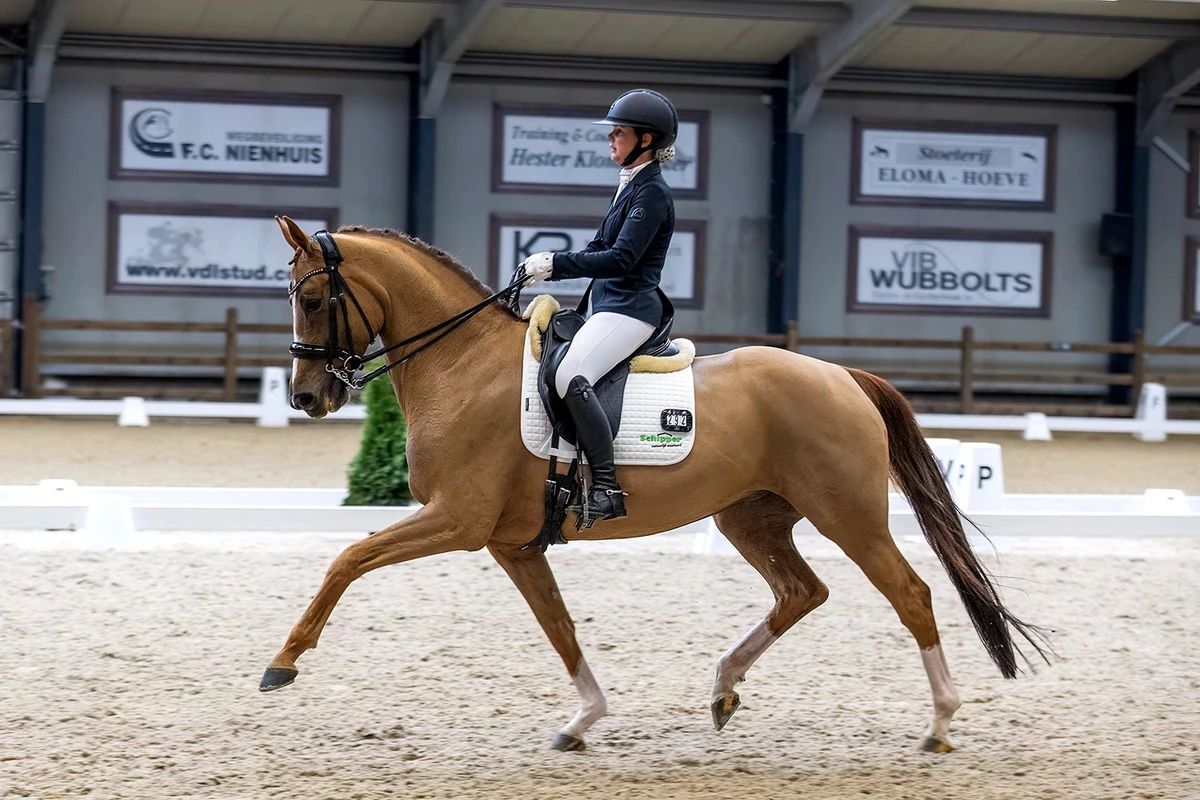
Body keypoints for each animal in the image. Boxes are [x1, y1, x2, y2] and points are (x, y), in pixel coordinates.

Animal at [262, 216, 1047, 753]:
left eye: (312, 299)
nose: (305, 398)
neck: (463, 368)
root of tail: (842, 375)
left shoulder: (458, 520)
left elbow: (348, 559)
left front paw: (282, 664)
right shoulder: (513, 543)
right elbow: (558, 627)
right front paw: (583, 719)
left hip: (847, 515)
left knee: (909, 595)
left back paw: (940, 723)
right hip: (750, 517)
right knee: (801, 591)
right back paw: (724, 690)